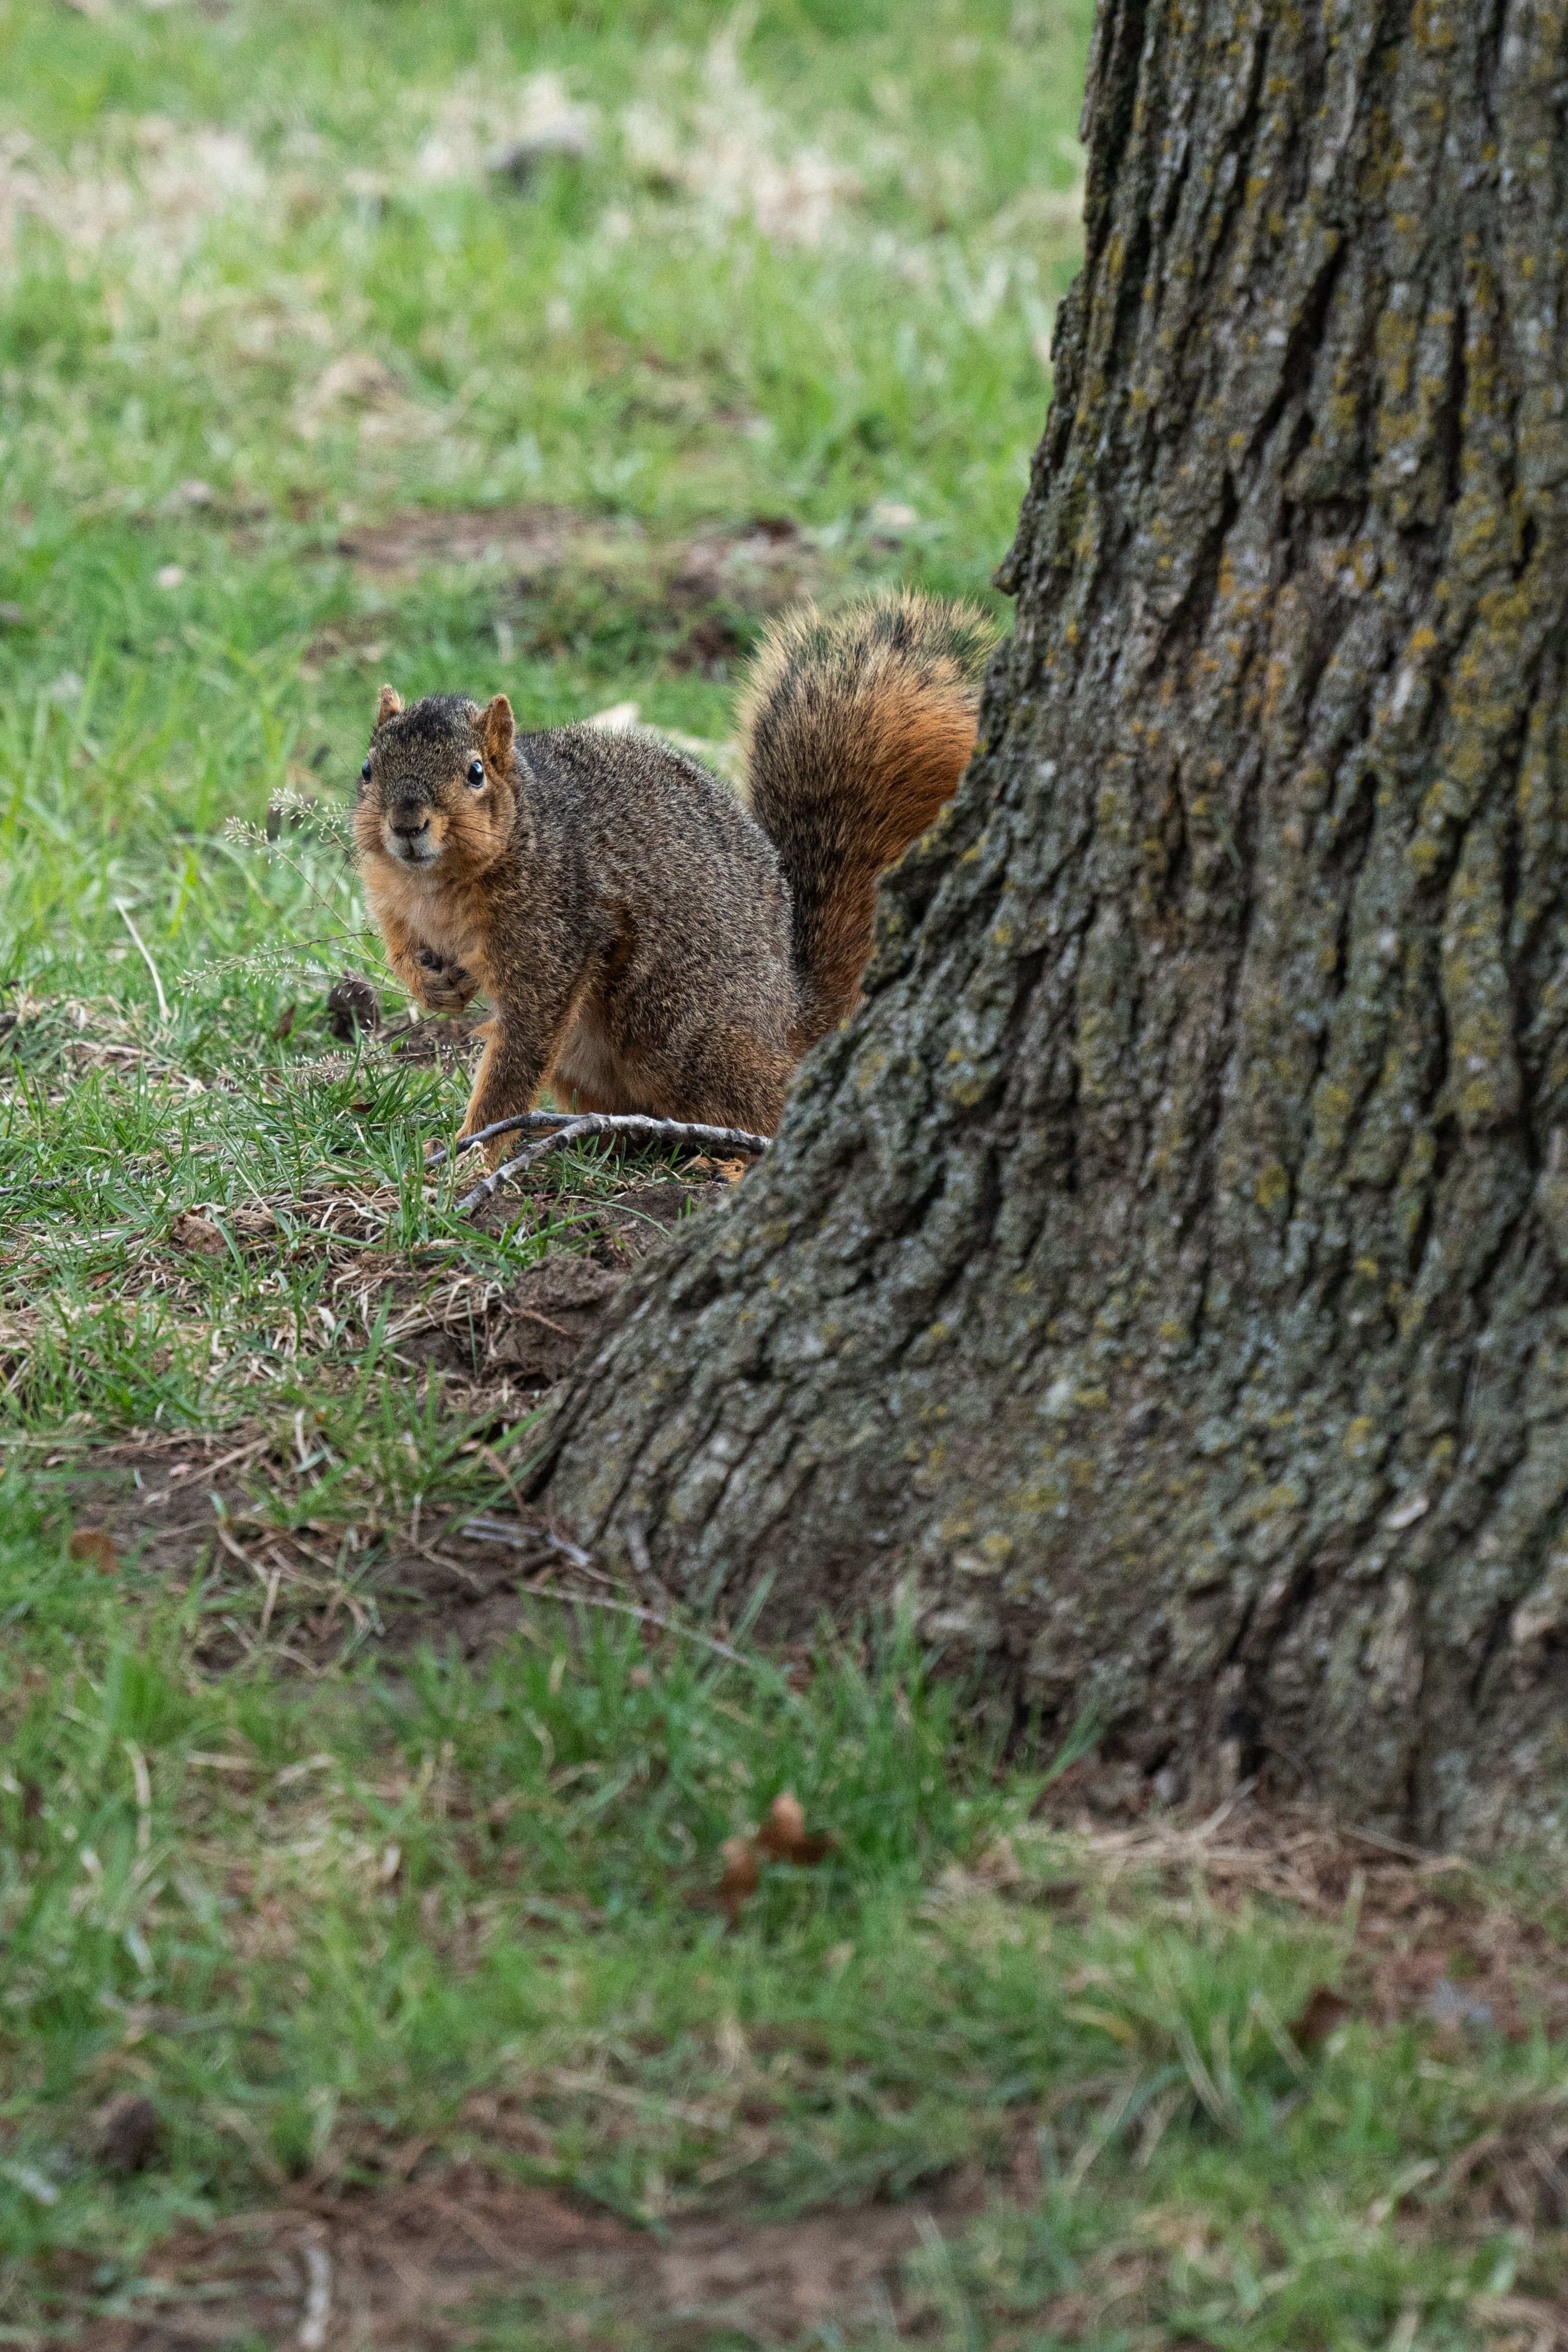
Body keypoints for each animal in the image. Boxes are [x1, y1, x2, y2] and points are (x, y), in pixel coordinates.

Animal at [353, 589, 998, 1148]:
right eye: (367, 768)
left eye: (475, 773)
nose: (406, 823)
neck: (434, 883)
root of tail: (785, 1012)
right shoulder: (393, 903)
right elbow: (401, 952)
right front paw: (434, 987)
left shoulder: (556, 932)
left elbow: (519, 1051)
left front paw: (472, 1152)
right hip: (591, 1060)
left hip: (677, 1029)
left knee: (767, 1095)